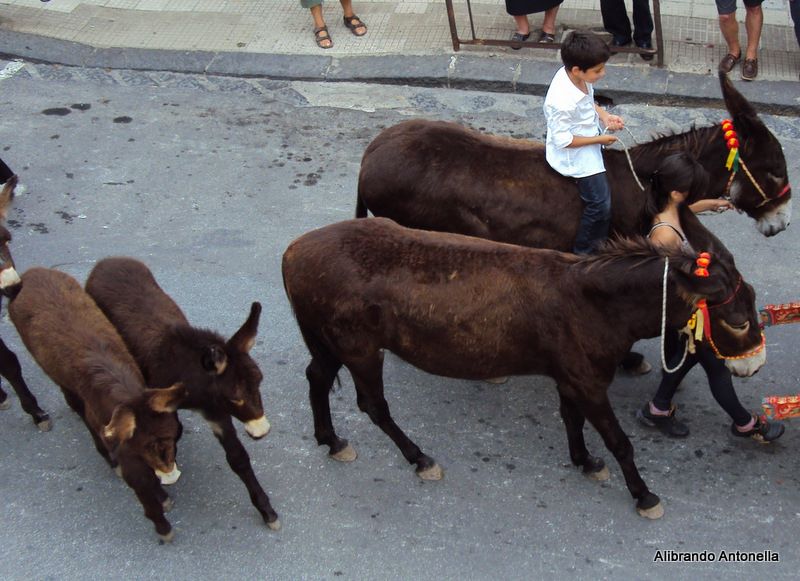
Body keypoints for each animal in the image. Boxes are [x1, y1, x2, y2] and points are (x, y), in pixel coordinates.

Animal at [282, 217, 765, 519]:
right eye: (738, 320)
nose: (753, 367)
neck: (589, 301)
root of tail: (294, 250)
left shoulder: (570, 378)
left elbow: (572, 421)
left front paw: (585, 461)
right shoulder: (589, 383)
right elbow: (620, 442)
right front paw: (643, 495)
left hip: (327, 340)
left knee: (317, 378)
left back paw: (331, 440)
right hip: (359, 348)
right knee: (373, 404)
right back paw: (419, 458)